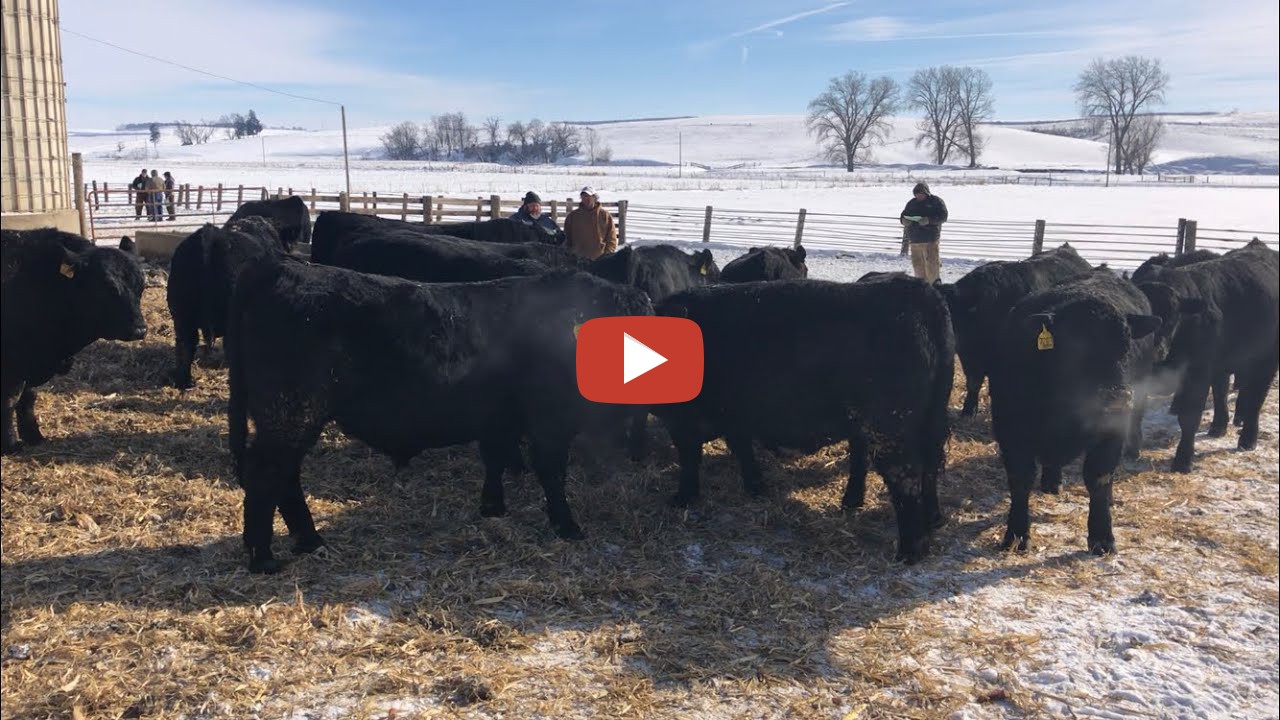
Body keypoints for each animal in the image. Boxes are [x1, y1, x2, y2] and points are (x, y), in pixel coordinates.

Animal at [2, 228, 147, 453]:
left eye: (141, 285)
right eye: (105, 287)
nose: (139, 329)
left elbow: (28, 398)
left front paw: (34, 436)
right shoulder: (13, 365)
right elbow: (10, 401)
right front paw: (10, 445)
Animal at [226, 260, 653, 572]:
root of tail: (283, 269)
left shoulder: (500, 418)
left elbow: (495, 458)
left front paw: (492, 508)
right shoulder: (550, 422)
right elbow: (551, 473)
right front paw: (567, 526)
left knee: (285, 476)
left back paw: (308, 541)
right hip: (291, 413)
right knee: (267, 473)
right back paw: (264, 557)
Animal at [649, 276, 955, 562]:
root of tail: (914, 289)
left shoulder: (683, 419)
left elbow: (690, 459)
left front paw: (682, 498)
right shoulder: (735, 416)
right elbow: (742, 449)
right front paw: (756, 487)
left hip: (890, 429)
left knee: (906, 479)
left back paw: (910, 552)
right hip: (925, 423)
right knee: (926, 468)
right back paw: (927, 518)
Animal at [989, 269, 1163, 555]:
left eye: (1126, 346)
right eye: (1075, 349)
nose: (1117, 396)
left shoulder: (1112, 429)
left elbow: (1099, 476)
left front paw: (1102, 536)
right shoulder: (1010, 429)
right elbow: (1020, 479)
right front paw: (1016, 535)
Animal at [1135, 239, 1279, 472]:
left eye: (1173, 317)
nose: (1156, 349)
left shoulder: (1197, 374)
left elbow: (1189, 417)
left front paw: (1183, 460)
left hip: (1266, 360)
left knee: (1256, 397)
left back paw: (1247, 438)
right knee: (1222, 391)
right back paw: (1219, 426)